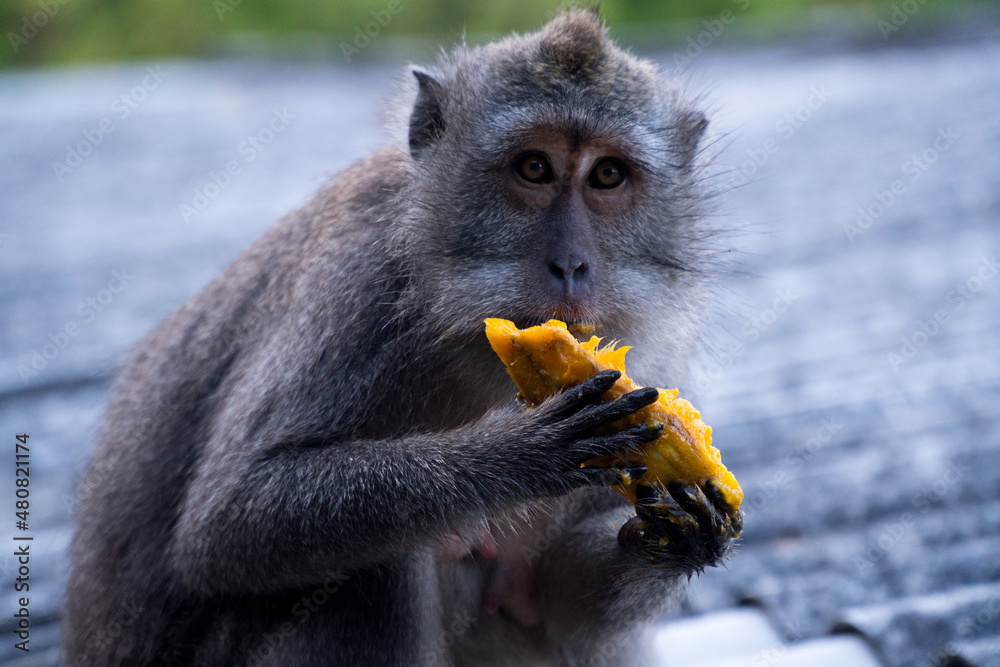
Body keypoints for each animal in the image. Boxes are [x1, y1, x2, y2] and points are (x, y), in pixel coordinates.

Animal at [64, 7, 740, 666]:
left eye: (607, 175)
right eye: (534, 168)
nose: (571, 264)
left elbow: (560, 602)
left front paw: (682, 528)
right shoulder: (355, 283)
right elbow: (228, 522)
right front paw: (518, 452)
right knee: (368, 568)